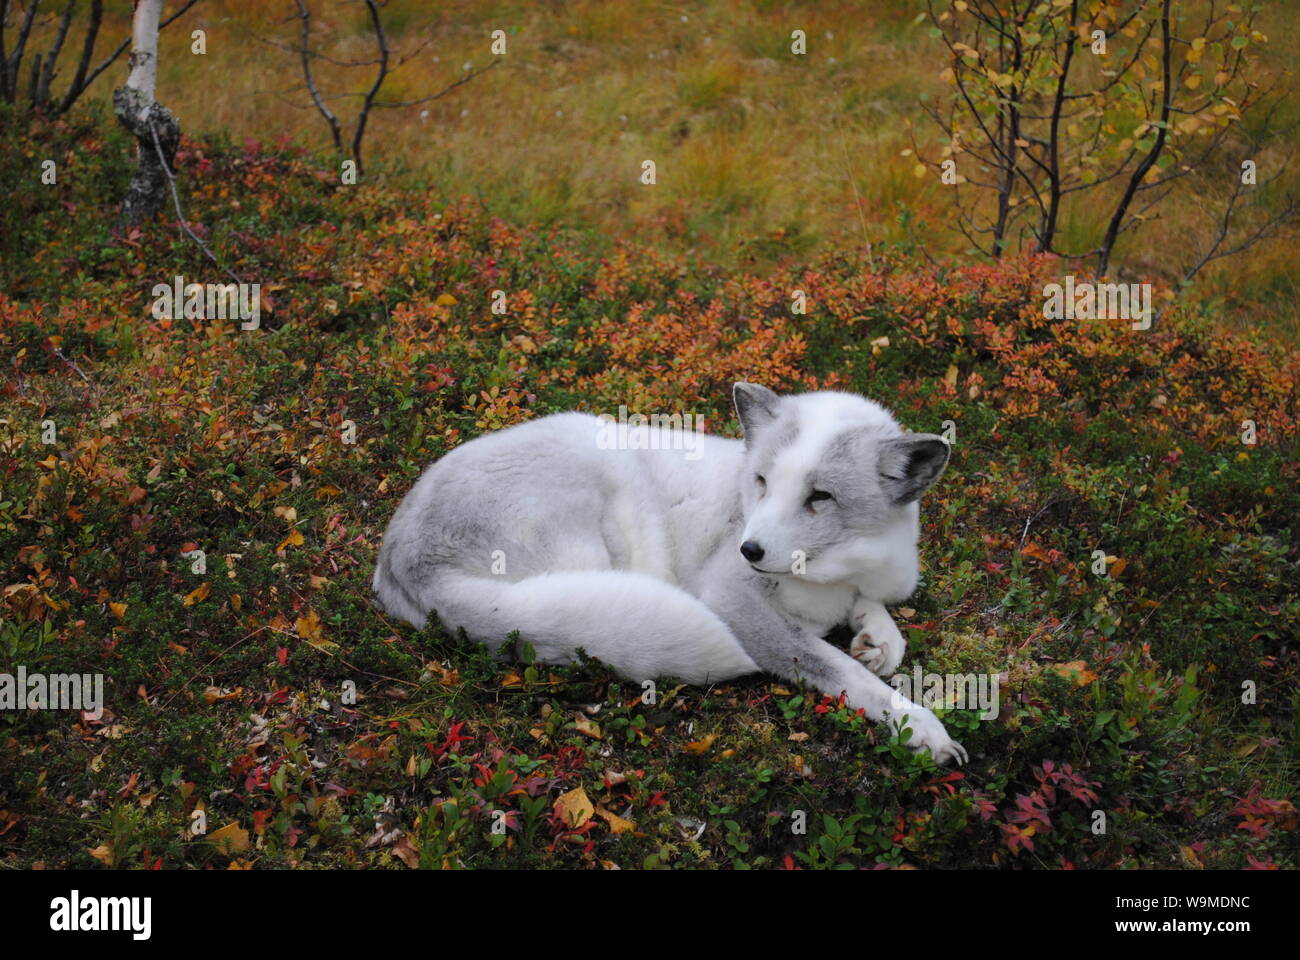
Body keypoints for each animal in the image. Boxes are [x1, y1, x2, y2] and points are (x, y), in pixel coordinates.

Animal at [372, 382, 967, 765]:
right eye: (762, 482)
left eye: (820, 497)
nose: (749, 549)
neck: (835, 571)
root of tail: (404, 557)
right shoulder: (730, 596)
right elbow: (840, 669)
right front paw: (917, 724)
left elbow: (880, 624)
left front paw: (878, 638)